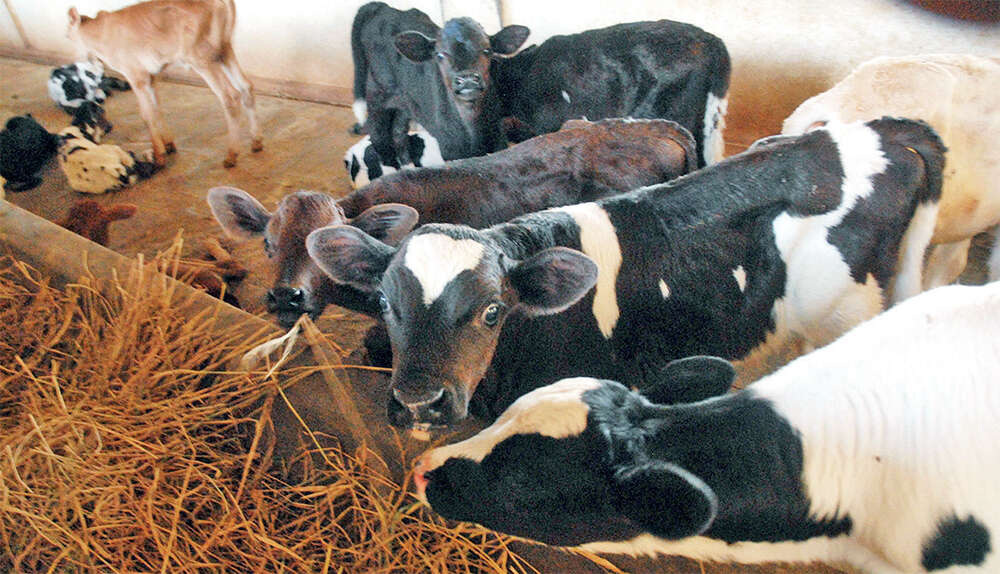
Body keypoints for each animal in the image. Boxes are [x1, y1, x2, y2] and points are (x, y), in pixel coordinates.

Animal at [66, 0, 262, 168]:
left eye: (67, 35)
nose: (73, 61)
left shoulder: (136, 75)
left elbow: (146, 114)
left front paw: (159, 156)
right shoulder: (152, 75)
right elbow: (157, 108)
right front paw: (168, 145)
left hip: (202, 57)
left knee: (230, 96)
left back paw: (231, 155)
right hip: (224, 50)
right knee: (246, 87)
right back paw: (256, 142)